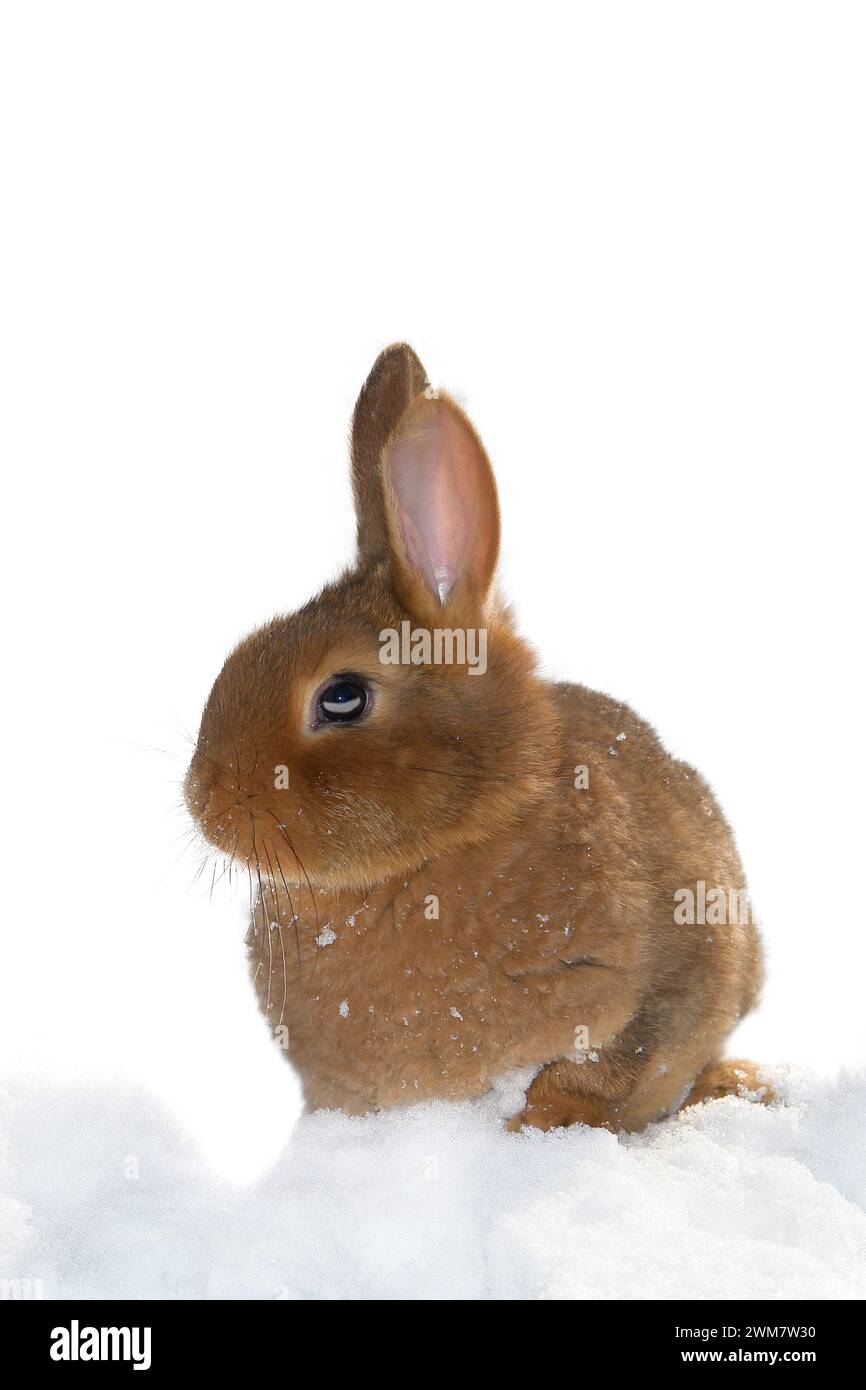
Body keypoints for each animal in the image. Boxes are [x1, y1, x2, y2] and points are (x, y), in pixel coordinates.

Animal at [184, 343, 768, 1131]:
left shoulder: (668, 982)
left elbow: (596, 1075)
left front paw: (533, 1128)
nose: (201, 799)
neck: (434, 855)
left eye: (342, 697)